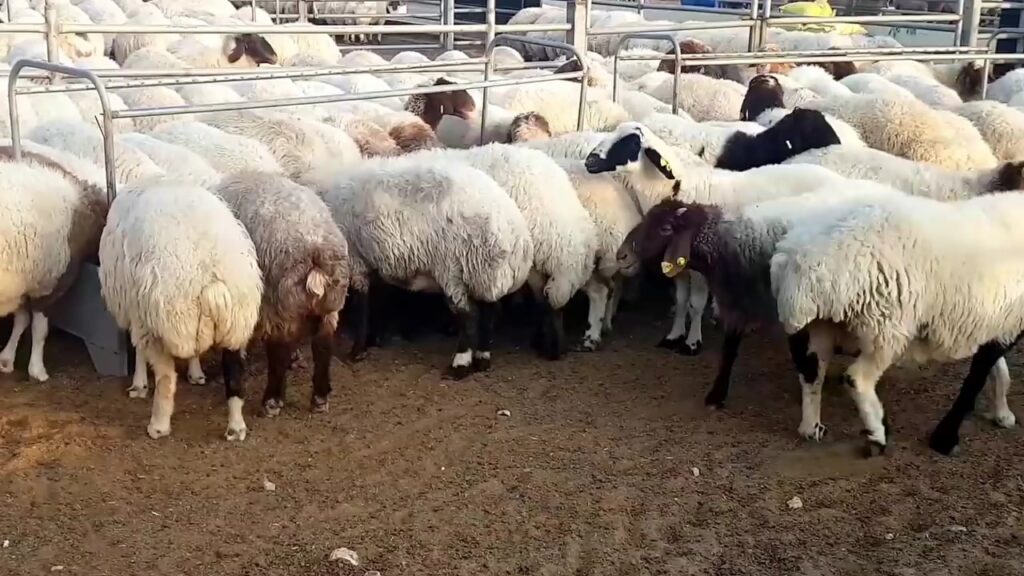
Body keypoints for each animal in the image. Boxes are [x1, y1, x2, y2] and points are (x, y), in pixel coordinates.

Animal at [0, 146, 106, 382]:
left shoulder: (26, 282)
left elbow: (21, 320)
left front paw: (6, 359)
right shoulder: (49, 285)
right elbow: (39, 329)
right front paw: (37, 370)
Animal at [100, 179, 262, 440]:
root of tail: (209, 274)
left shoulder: (137, 310)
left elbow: (138, 350)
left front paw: (138, 385)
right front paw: (196, 373)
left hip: (165, 319)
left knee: (167, 378)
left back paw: (158, 425)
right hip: (235, 322)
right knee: (235, 374)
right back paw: (236, 427)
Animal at [215, 171, 349, 417]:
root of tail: (315, 249)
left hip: (278, 302)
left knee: (278, 350)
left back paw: (272, 400)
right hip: (329, 303)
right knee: (323, 345)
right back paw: (320, 397)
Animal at [318, 159, 533, 377]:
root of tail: (515, 235)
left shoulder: (355, 257)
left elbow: (361, 303)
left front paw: (358, 350)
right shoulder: (375, 261)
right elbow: (377, 298)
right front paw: (373, 339)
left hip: (454, 270)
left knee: (469, 316)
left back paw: (460, 364)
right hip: (485, 276)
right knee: (489, 313)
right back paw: (482, 358)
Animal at [770, 190, 1024, 456]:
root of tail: (799, 262)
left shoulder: (998, 322)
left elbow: (996, 369)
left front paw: (1002, 412)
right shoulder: (1009, 324)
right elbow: (977, 378)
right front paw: (945, 439)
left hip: (822, 326)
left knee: (812, 372)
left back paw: (811, 428)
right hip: (884, 324)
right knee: (857, 378)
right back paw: (876, 435)